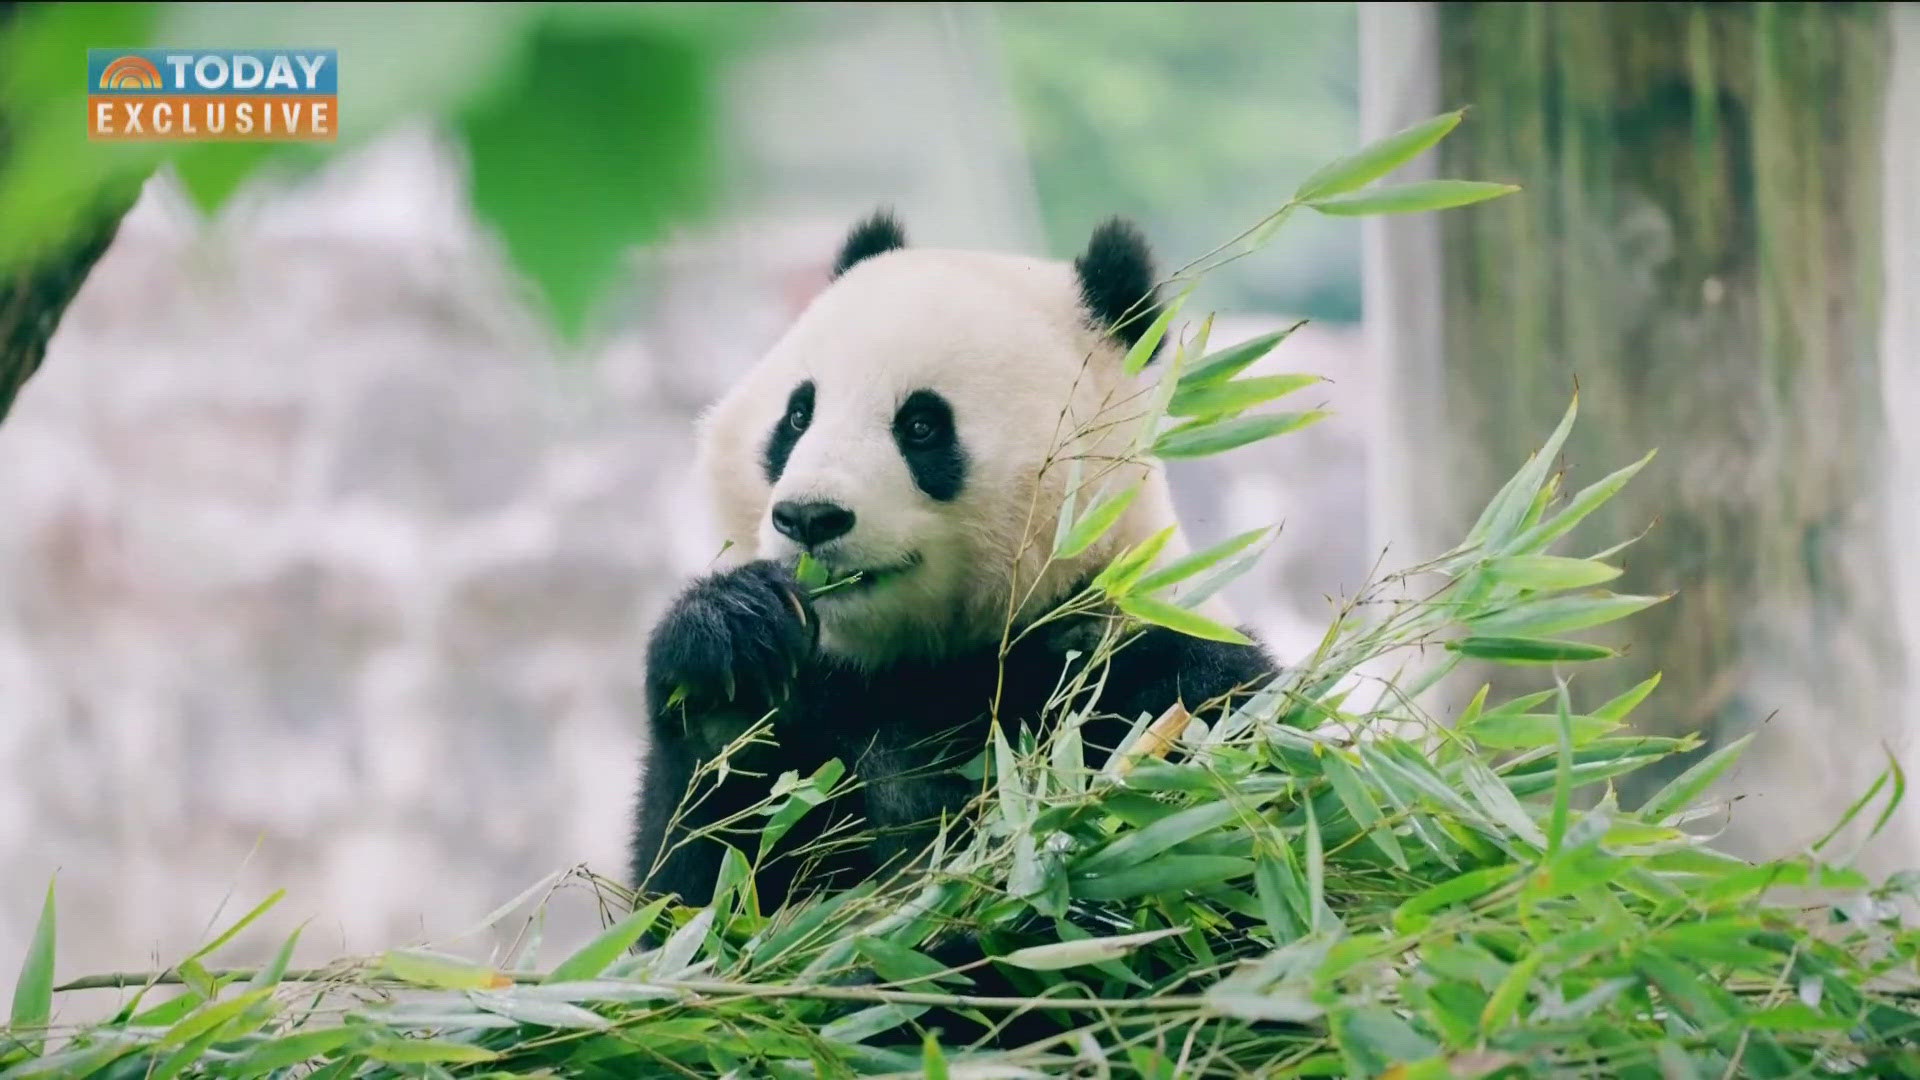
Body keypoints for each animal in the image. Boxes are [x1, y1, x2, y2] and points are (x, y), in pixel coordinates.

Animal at [630, 210, 1280, 911]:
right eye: (798, 415)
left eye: (921, 426)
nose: (809, 517)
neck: (926, 662)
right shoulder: (828, 702)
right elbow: (699, 885)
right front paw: (731, 646)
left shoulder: (1157, 684)